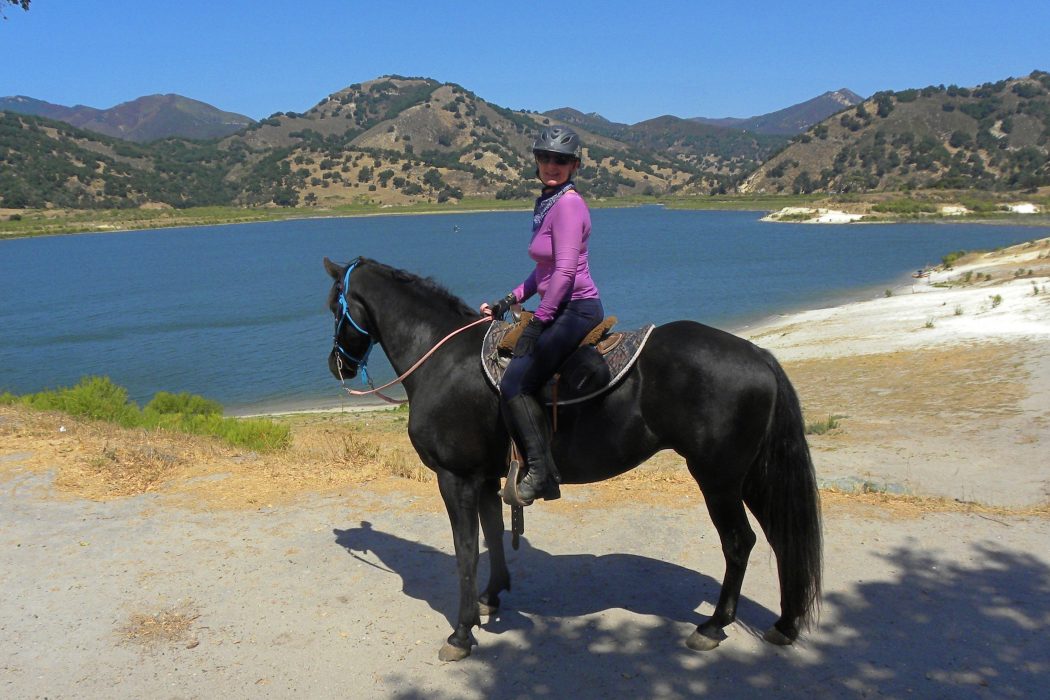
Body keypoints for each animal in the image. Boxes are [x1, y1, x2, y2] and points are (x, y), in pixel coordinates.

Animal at [324, 256, 822, 662]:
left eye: (334, 307)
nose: (337, 364)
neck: (444, 360)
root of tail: (756, 352)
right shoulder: (485, 478)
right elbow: (494, 534)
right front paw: (492, 597)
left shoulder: (456, 478)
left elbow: (465, 551)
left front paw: (462, 634)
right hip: (749, 477)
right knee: (781, 538)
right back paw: (784, 624)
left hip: (717, 479)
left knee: (739, 543)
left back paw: (714, 626)